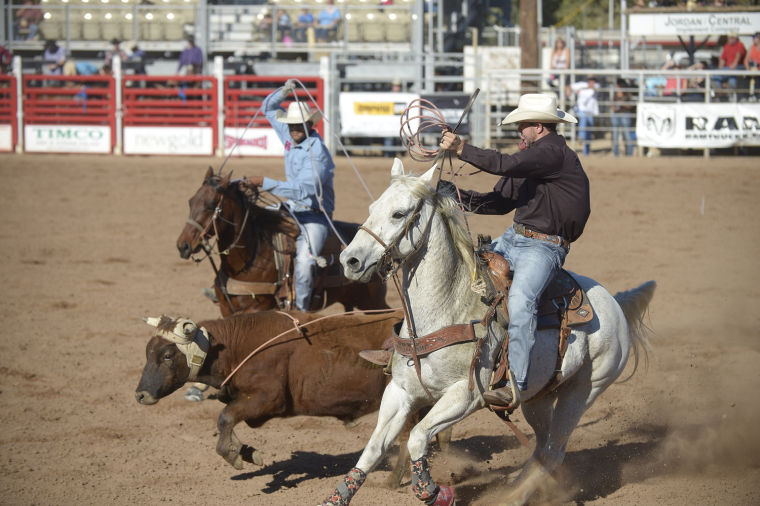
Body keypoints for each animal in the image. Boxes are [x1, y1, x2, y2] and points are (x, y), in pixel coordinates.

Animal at [135, 310, 402, 471]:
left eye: (167, 355)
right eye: (147, 351)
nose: (140, 394)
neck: (236, 346)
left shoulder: (269, 399)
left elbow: (226, 417)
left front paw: (234, 455)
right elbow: (228, 419)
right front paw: (244, 450)